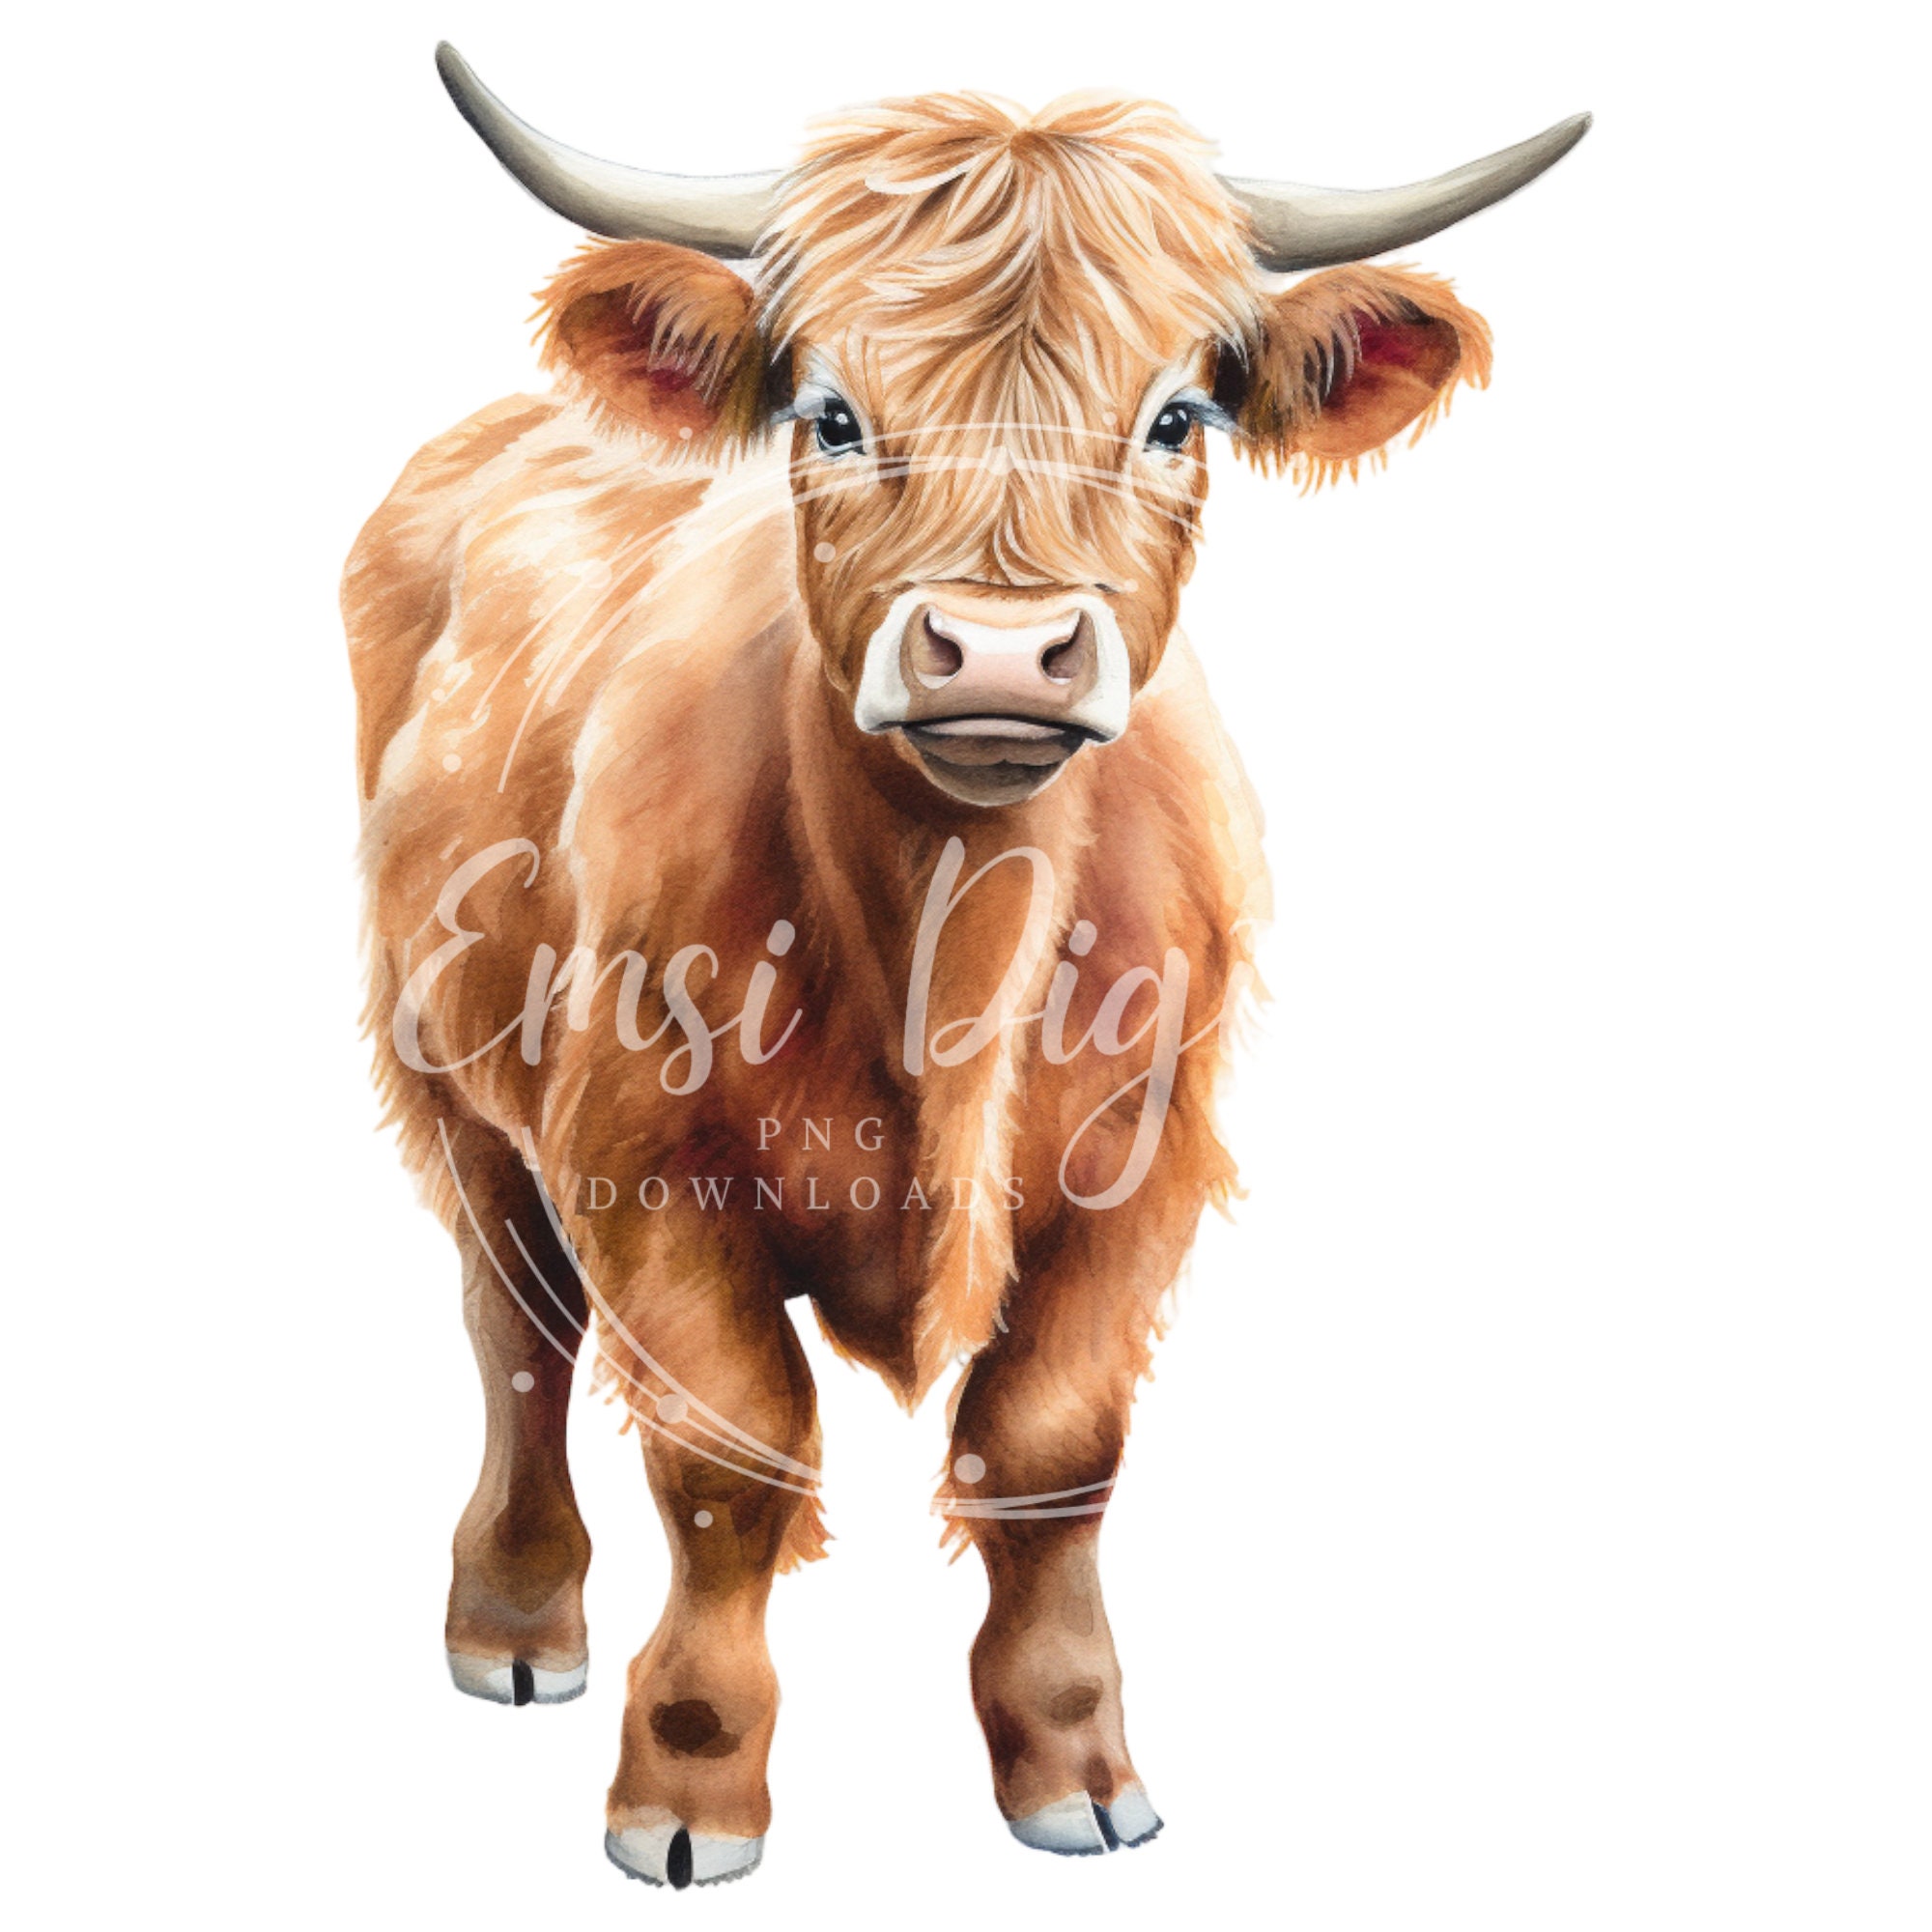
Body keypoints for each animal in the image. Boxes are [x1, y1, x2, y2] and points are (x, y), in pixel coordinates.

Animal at [344, 43, 1587, 1888]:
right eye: (831, 412)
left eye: (1179, 415)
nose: (998, 652)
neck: (946, 949)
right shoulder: (645, 1166)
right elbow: (729, 1460)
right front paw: (689, 1791)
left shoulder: (1142, 1169)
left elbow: (1053, 1448)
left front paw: (1076, 1769)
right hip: (447, 1069)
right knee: (517, 1323)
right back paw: (513, 1619)